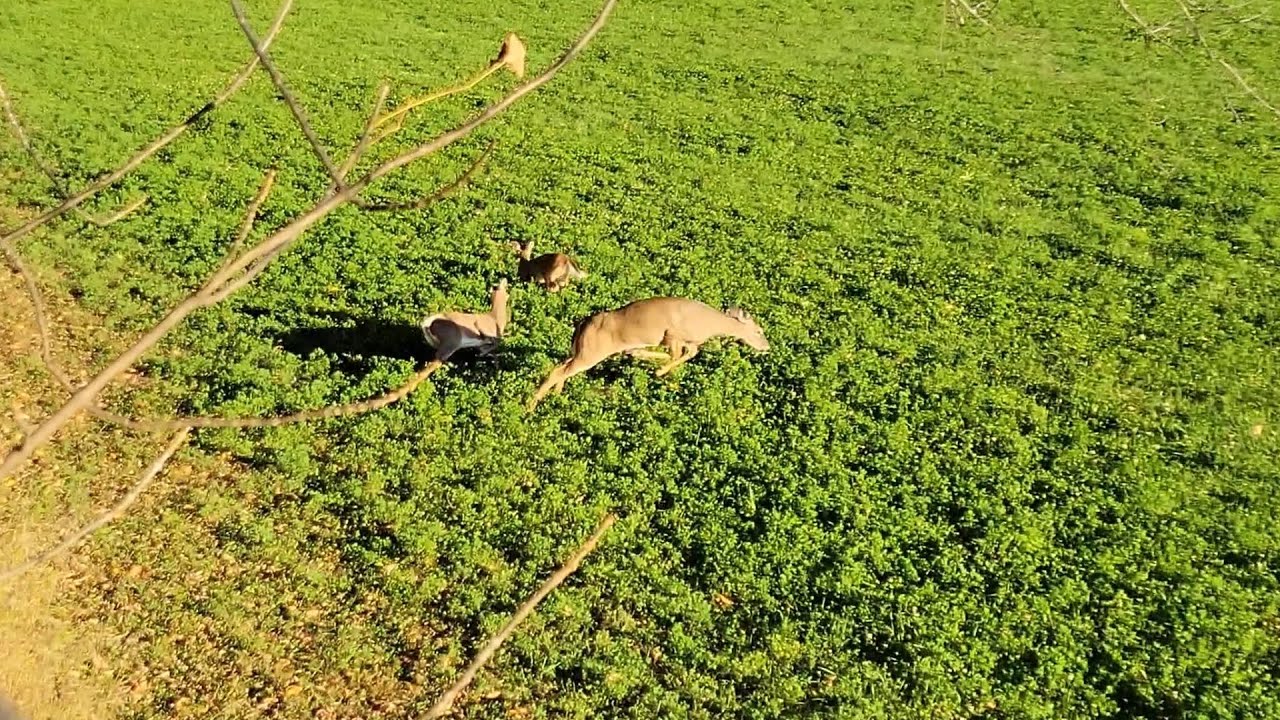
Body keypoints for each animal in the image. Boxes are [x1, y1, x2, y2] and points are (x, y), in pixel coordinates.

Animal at [527, 297, 769, 410]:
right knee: (558, 371)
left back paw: (556, 396)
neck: (710, 323)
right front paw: (660, 371)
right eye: (759, 331)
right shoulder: (673, 333)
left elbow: (687, 353)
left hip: (579, 350)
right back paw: (530, 405)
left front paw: (653, 364)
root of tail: (581, 324)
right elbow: (678, 354)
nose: (767, 347)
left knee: (560, 367)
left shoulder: (684, 340)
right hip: (590, 353)